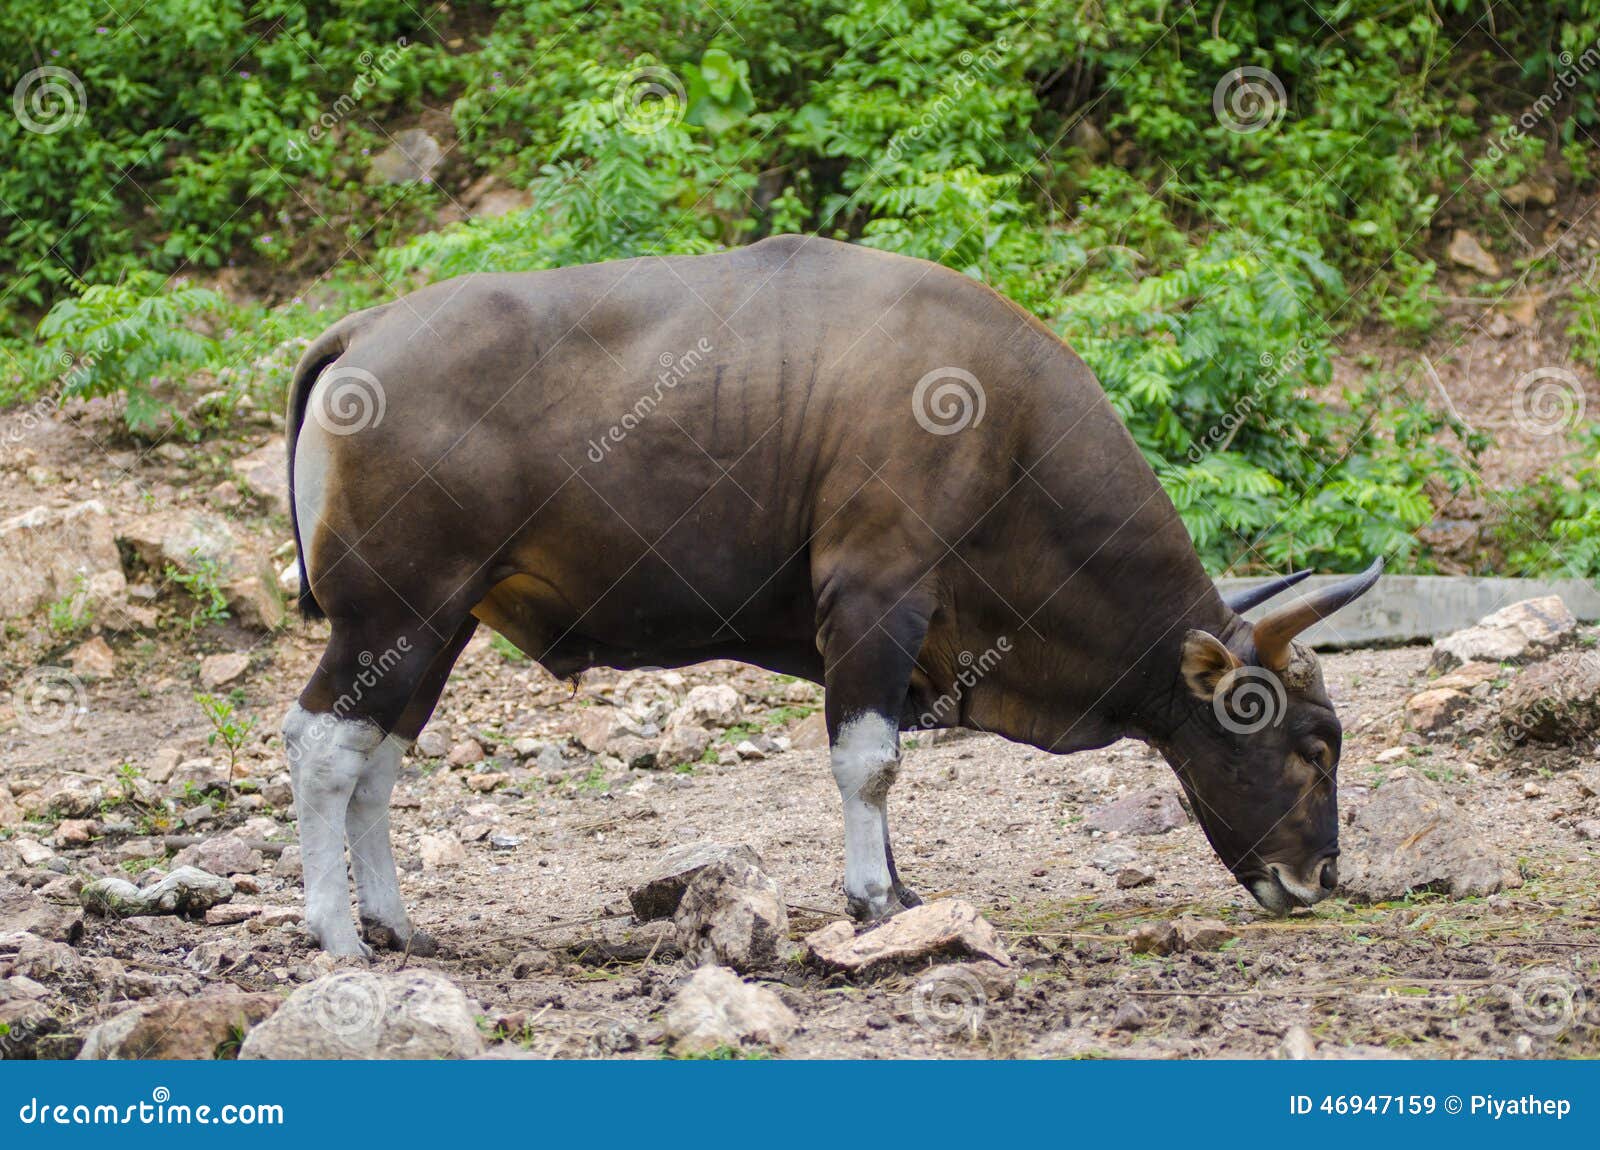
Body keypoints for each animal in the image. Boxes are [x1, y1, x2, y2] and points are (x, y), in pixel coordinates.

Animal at [283, 234, 1380, 957]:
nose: (1321, 877)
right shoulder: (873, 596)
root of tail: (364, 329)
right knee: (321, 745)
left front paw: (898, 889)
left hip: (436, 626)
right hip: (393, 612)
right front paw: (871, 901)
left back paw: (396, 922)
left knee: (378, 763)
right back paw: (339, 935)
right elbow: (871, 763)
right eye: (1312, 744)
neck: (1003, 425)